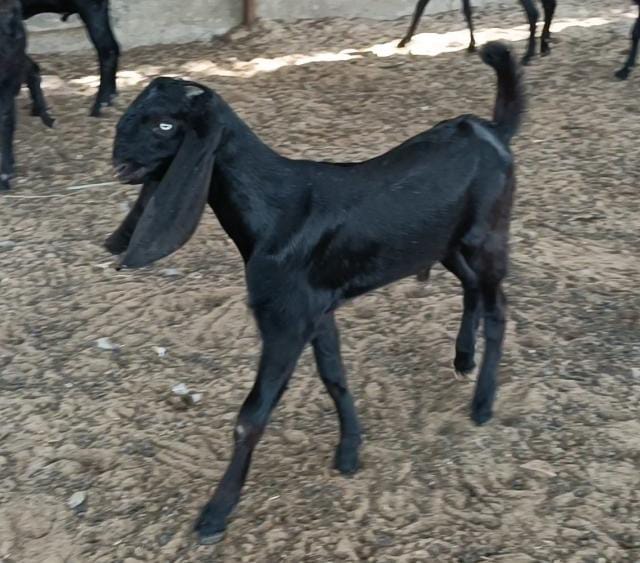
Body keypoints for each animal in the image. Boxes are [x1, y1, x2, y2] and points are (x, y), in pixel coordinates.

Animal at [106, 41, 524, 543]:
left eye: (166, 125)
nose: (117, 156)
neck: (274, 210)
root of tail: (493, 130)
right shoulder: (316, 309)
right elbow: (333, 376)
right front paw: (349, 450)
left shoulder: (286, 320)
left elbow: (251, 416)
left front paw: (215, 514)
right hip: (445, 241)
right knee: (470, 287)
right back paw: (463, 357)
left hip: (488, 236)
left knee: (498, 308)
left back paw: (482, 403)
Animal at [398, 0, 557, 65]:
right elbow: (467, 9)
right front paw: (472, 44)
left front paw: (403, 40)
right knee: (549, 4)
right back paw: (544, 45)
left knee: (533, 12)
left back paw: (528, 55)